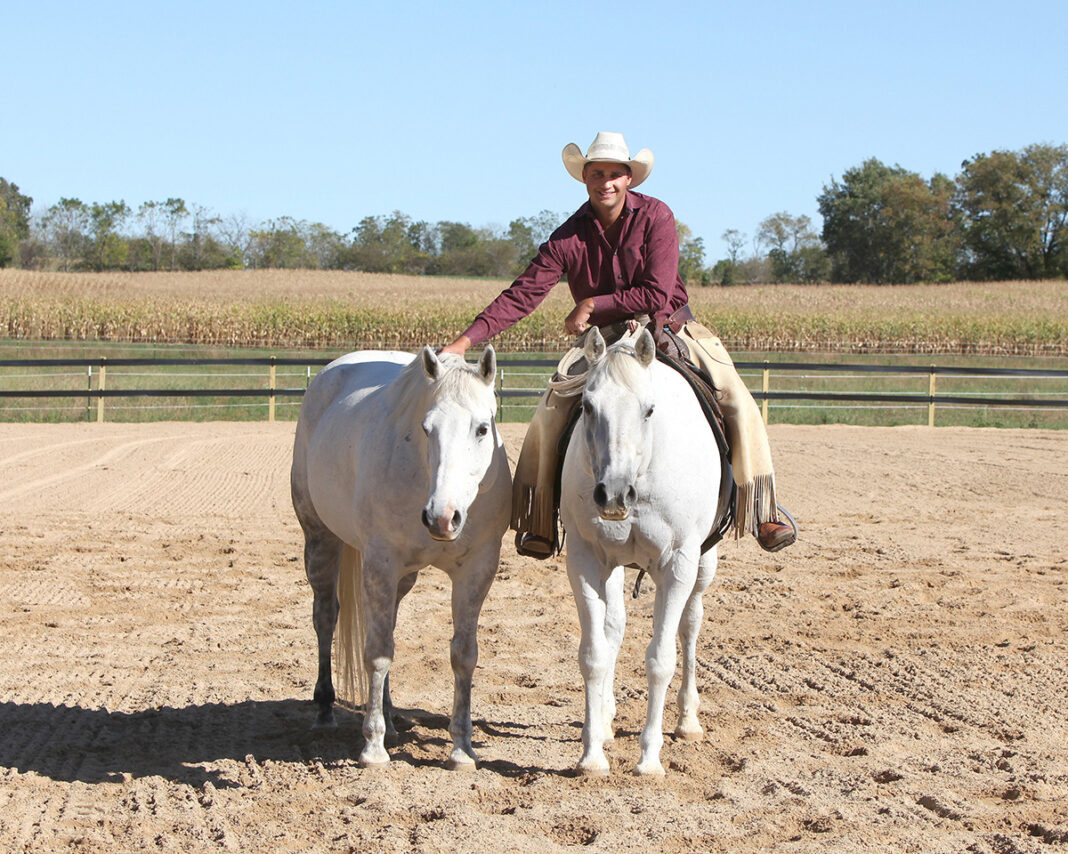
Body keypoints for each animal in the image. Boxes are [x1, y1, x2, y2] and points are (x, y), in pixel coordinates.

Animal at [290, 346, 511, 770]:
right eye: (427, 428)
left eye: (482, 428)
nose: (442, 517)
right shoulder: (380, 565)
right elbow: (377, 653)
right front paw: (373, 748)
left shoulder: (477, 570)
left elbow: (463, 655)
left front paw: (462, 749)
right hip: (320, 539)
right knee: (325, 617)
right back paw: (325, 710)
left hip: (402, 578)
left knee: (386, 623)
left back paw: (391, 718)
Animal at [559, 326, 723, 776]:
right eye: (587, 405)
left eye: (649, 410)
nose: (614, 495)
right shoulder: (585, 560)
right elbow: (594, 654)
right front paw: (592, 754)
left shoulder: (679, 564)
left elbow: (660, 659)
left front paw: (649, 759)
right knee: (614, 628)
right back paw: (606, 719)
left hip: (703, 565)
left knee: (690, 625)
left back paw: (687, 720)